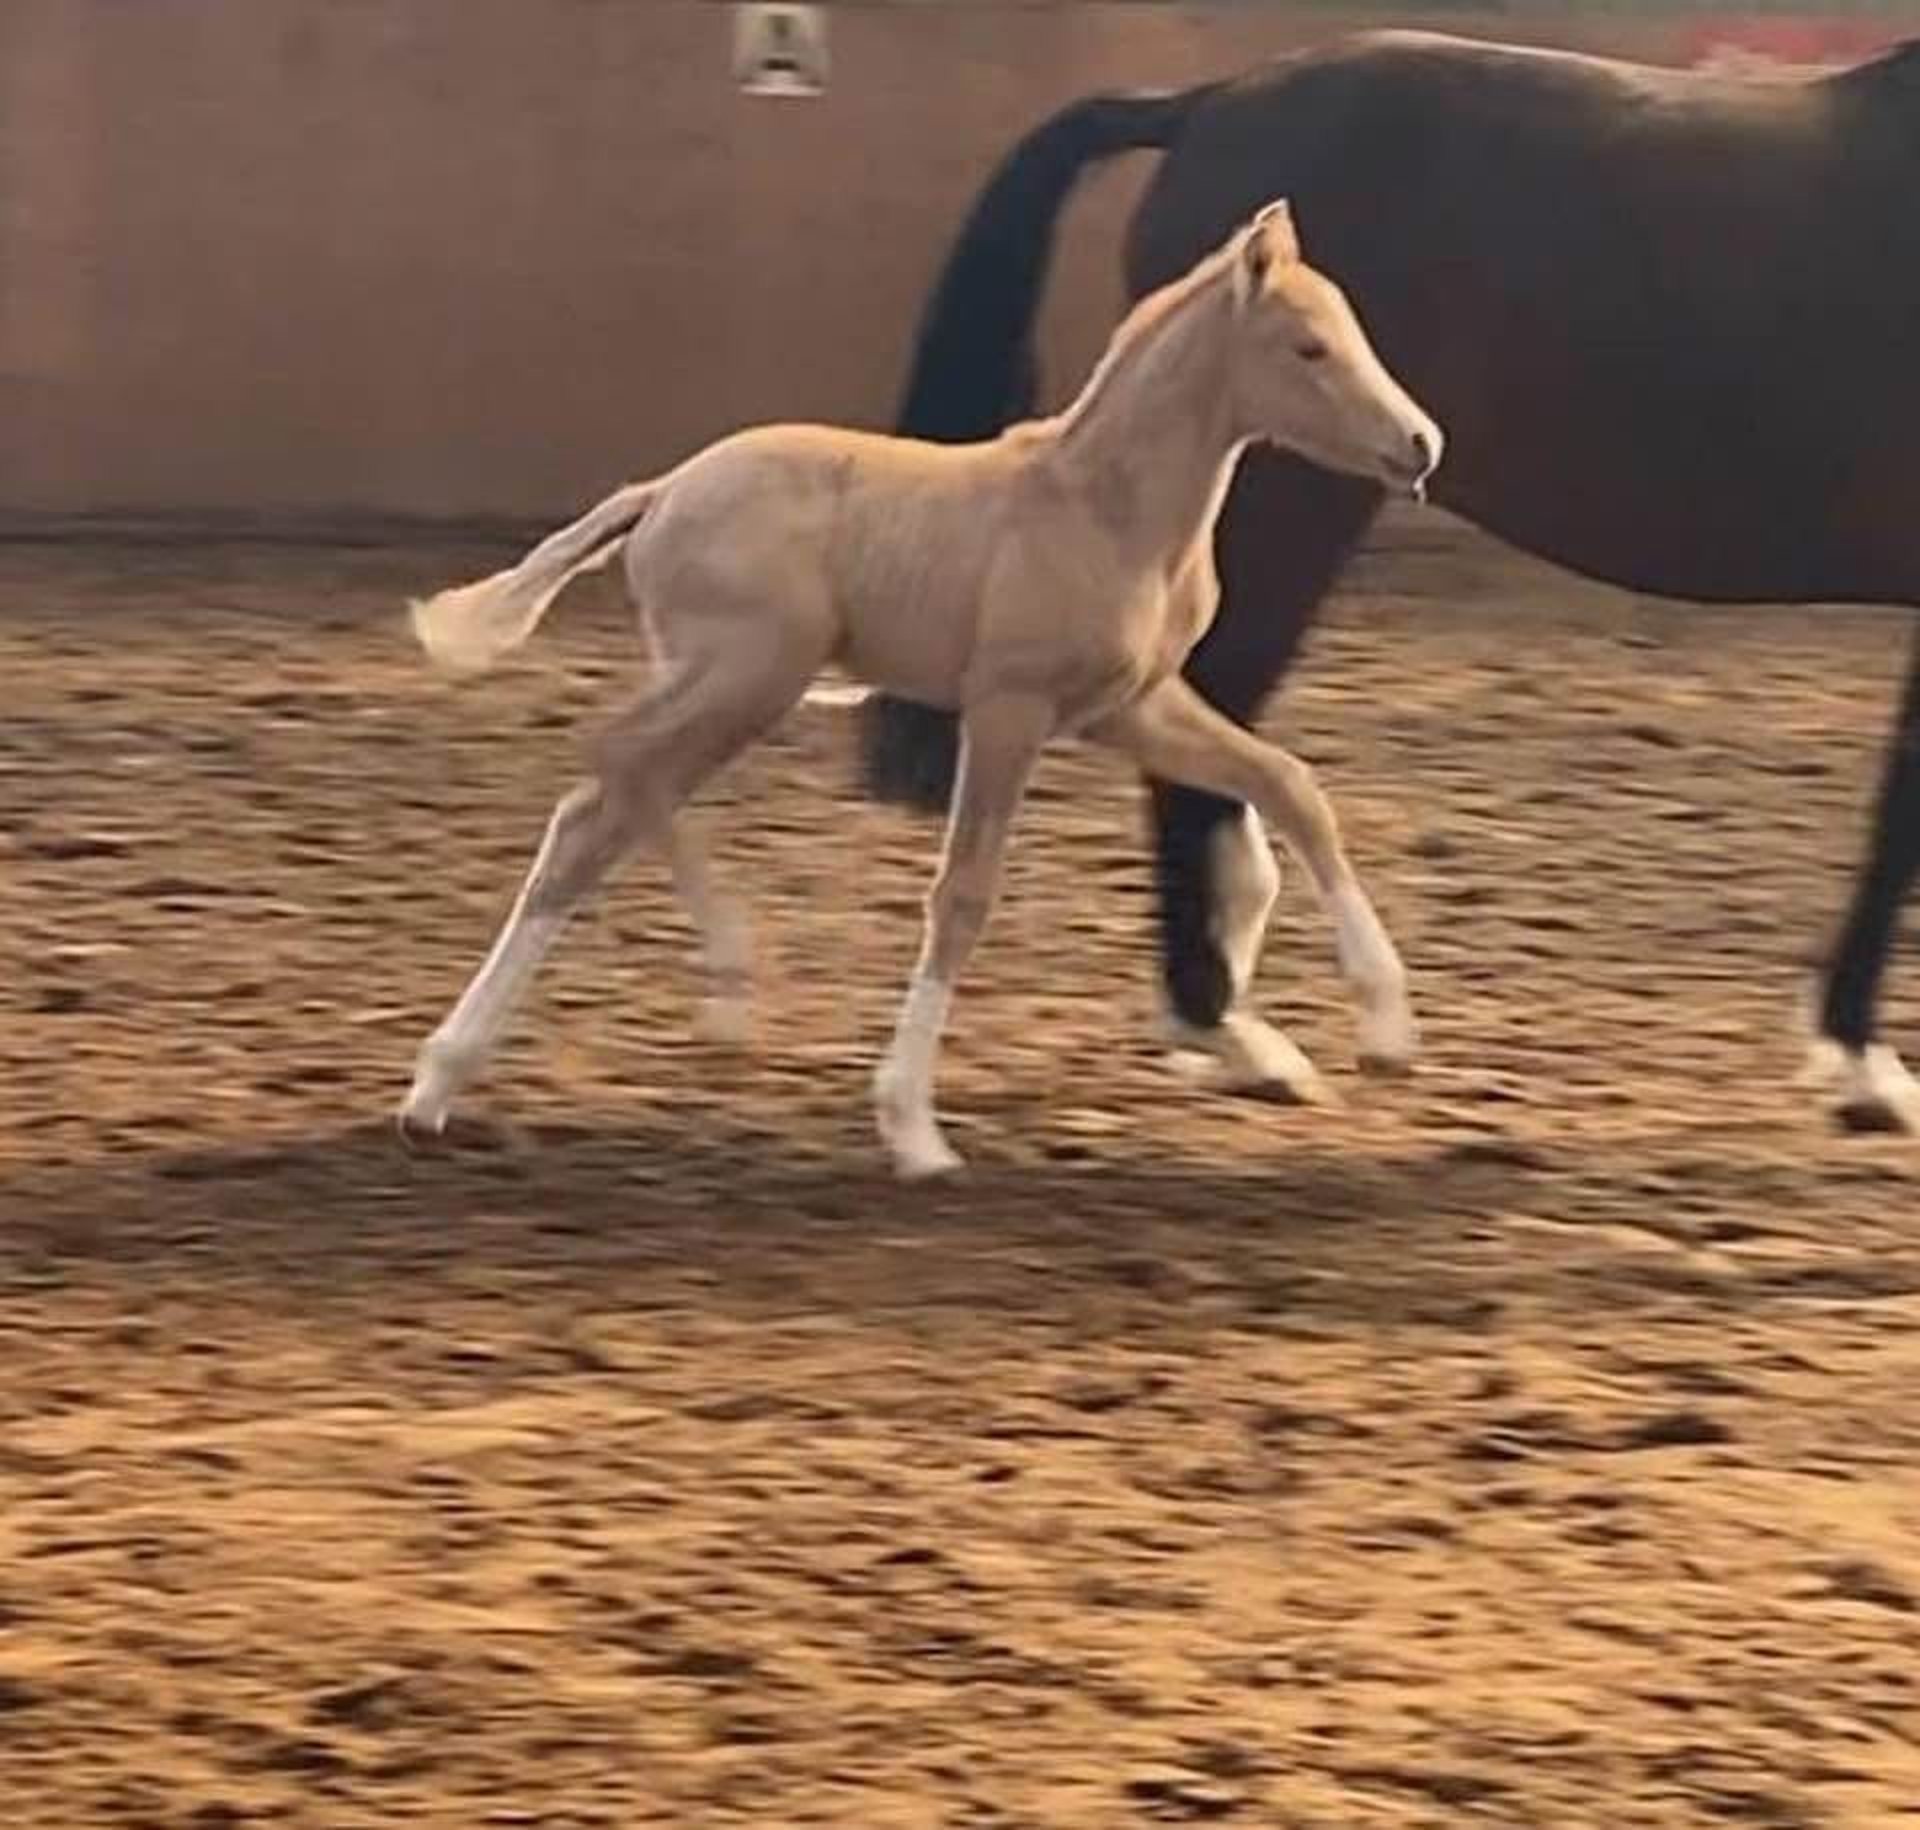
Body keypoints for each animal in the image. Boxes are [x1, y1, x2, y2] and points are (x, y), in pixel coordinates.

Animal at [396, 204, 1440, 1178]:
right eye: (1308, 347)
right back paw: (676, 1000)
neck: (1104, 510)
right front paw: (912, 1128)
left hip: (726, 683)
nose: (1421, 444)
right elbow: (964, 894)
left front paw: (1381, 1030)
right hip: (746, 674)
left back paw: (468, 1075)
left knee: (600, 808)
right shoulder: (1009, 708)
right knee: (608, 779)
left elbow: (1288, 785)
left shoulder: (1125, 707)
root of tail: (659, 492)